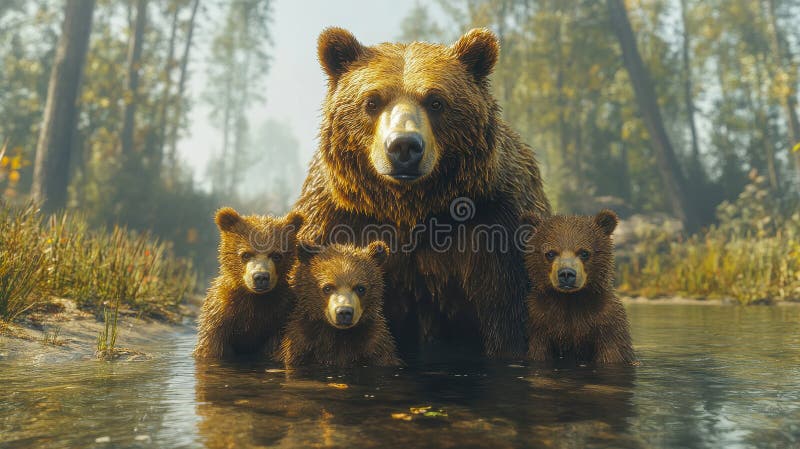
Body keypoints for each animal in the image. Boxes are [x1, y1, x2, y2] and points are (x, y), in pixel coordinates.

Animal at [193, 208, 303, 360]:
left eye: (276, 255)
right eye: (246, 254)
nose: (261, 277)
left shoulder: (279, 317)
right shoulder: (220, 318)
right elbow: (210, 348)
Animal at [292, 27, 551, 359]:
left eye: (436, 101)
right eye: (372, 101)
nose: (404, 146)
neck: (410, 208)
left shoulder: (494, 230)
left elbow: (510, 319)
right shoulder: (340, 220)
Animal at [521, 210, 635, 365]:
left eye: (584, 252)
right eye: (550, 253)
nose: (566, 274)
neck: (570, 298)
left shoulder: (606, 323)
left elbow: (613, 353)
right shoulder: (540, 322)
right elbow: (538, 352)